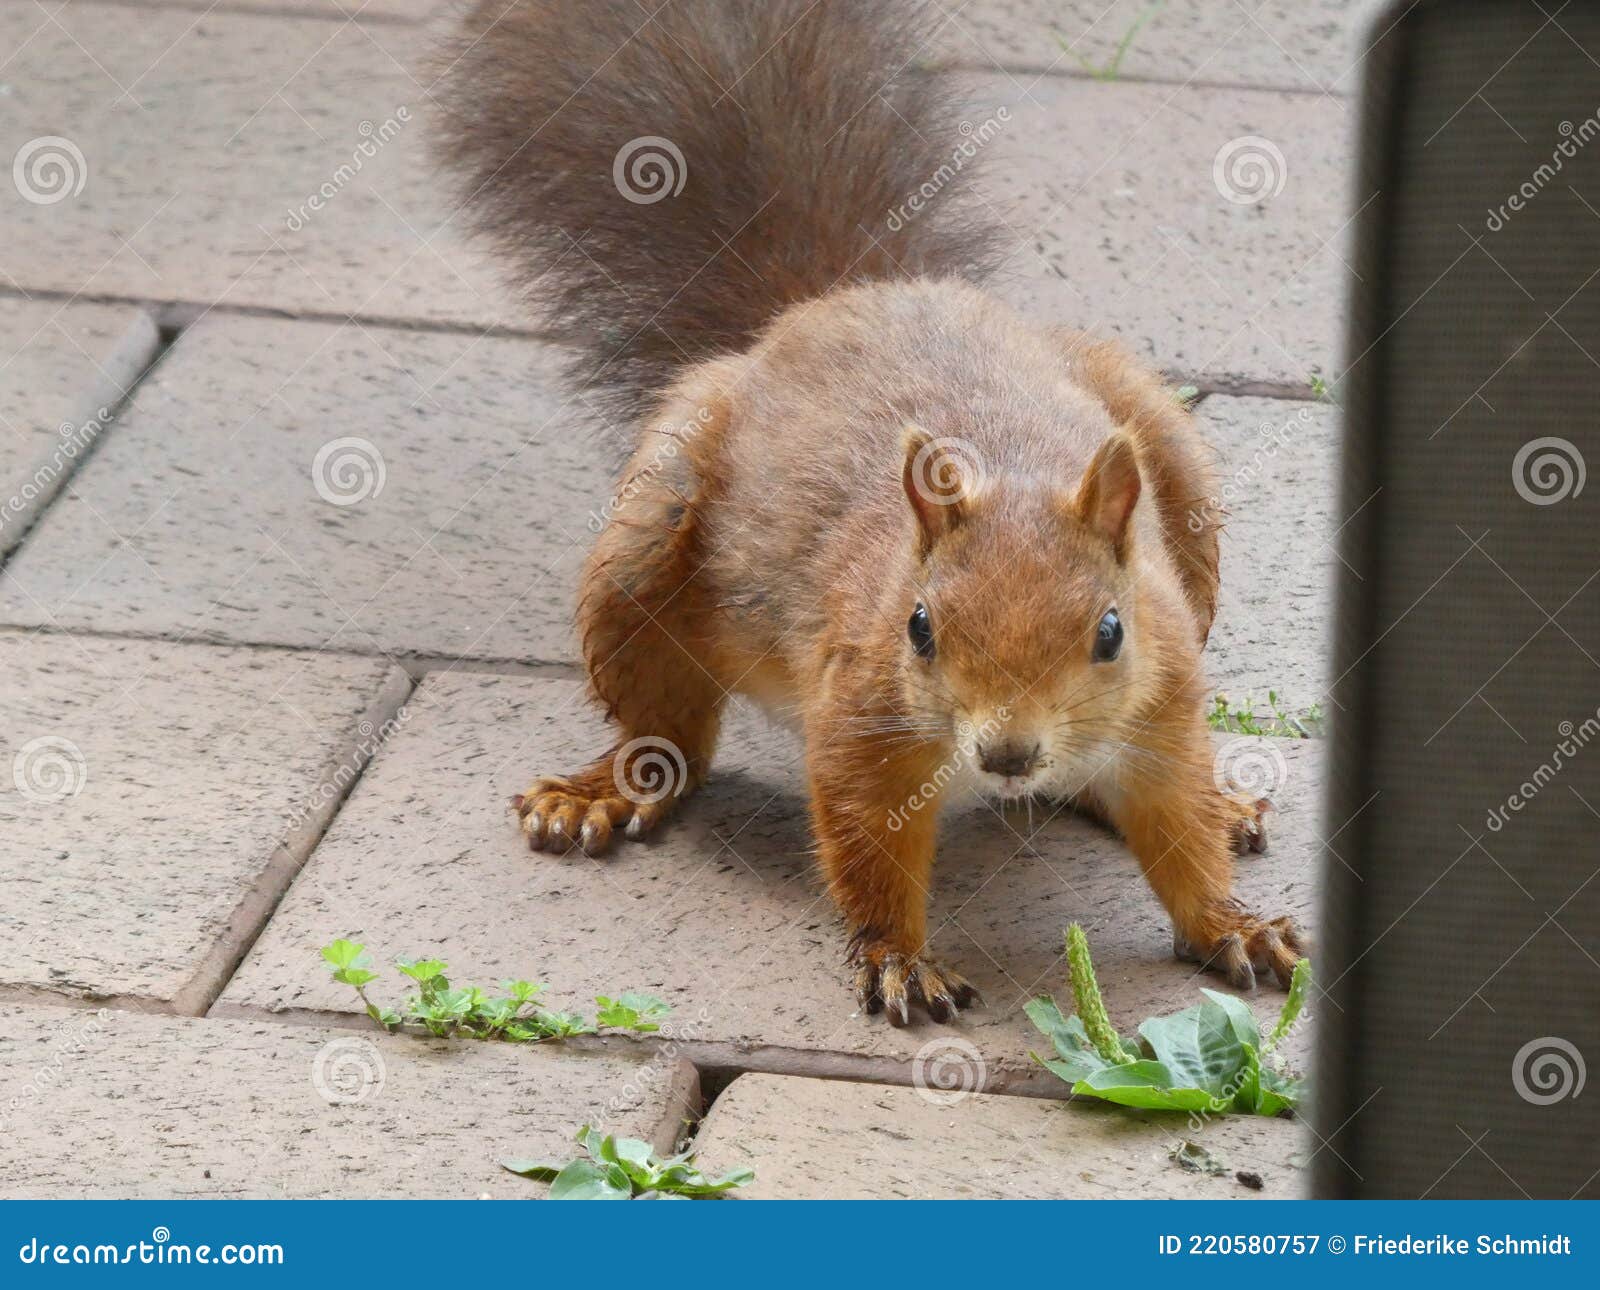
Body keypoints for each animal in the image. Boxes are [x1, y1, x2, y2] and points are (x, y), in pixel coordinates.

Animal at [433, 0, 1304, 1025]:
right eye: (918, 628)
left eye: (1111, 632)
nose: (1009, 752)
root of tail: (836, 300)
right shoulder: (860, 713)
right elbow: (866, 844)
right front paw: (897, 957)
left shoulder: (1163, 701)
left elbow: (1178, 829)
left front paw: (1231, 924)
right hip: (647, 537)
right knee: (672, 735)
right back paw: (602, 787)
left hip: (1171, 458)